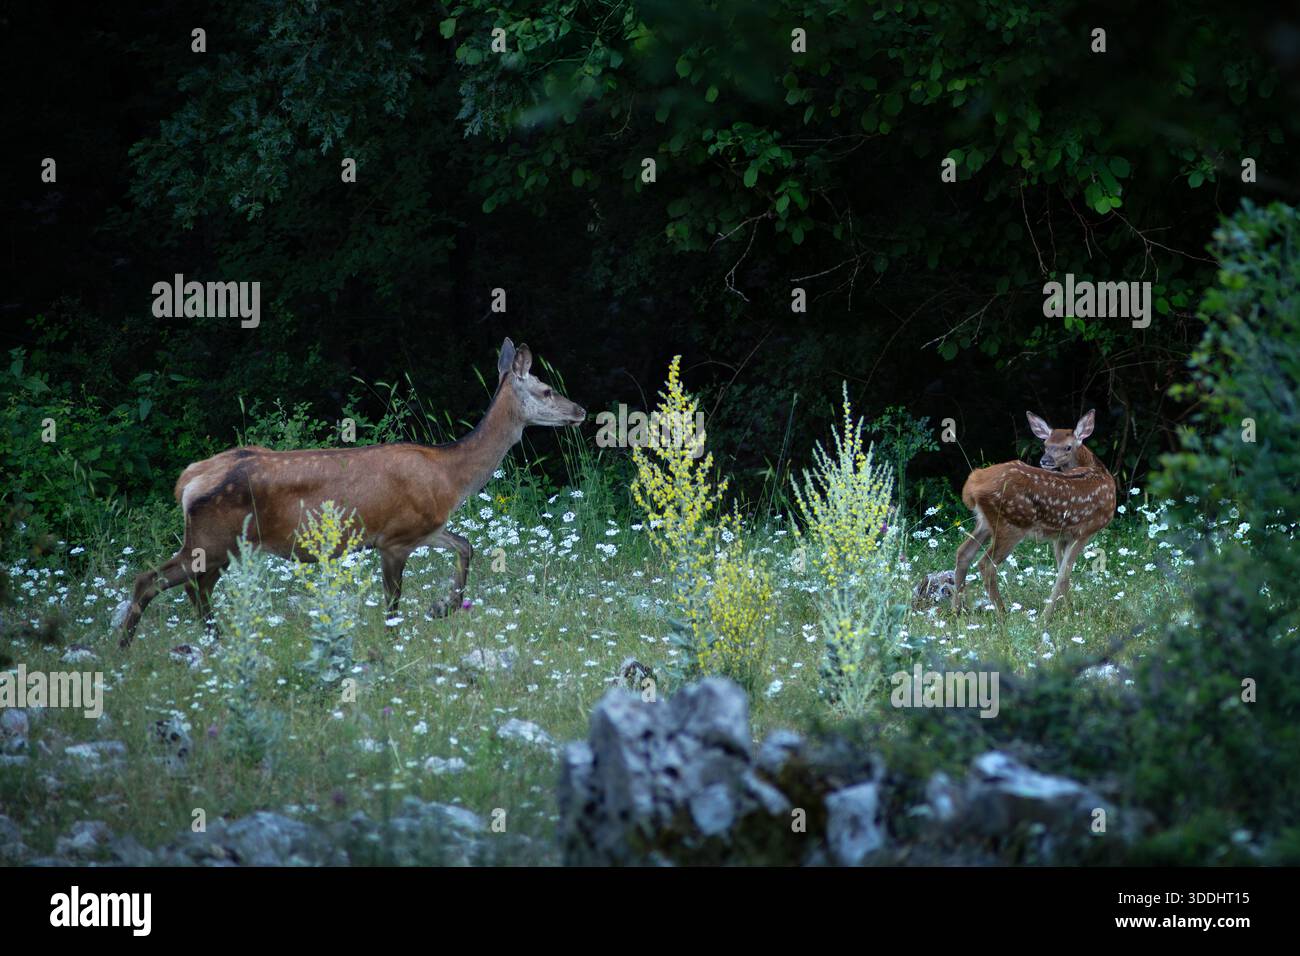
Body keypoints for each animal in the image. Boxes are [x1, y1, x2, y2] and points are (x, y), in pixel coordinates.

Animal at [113, 338, 585, 647]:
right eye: (546, 389)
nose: (580, 410)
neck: (450, 478)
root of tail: (188, 479)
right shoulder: (394, 537)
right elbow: (393, 601)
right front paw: (400, 636)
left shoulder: (425, 528)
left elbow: (466, 546)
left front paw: (442, 607)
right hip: (211, 538)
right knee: (151, 580)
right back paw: (131, 647)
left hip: (225, 545)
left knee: (192, 588)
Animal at [951, 409, 1115, 623]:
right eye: (1045, 444)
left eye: (1067, 446)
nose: (1046, 460)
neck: (1098, 470)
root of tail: (972, 483)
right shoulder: (1085, 530)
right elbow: (1063, 573)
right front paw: (1047, 617)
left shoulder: (1061, 535)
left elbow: (1060, 570)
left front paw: (1068, 611)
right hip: (1011, 525)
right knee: (986, 564)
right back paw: (1003, 614)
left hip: (985, 522)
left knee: (963, 553)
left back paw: (956, 612)